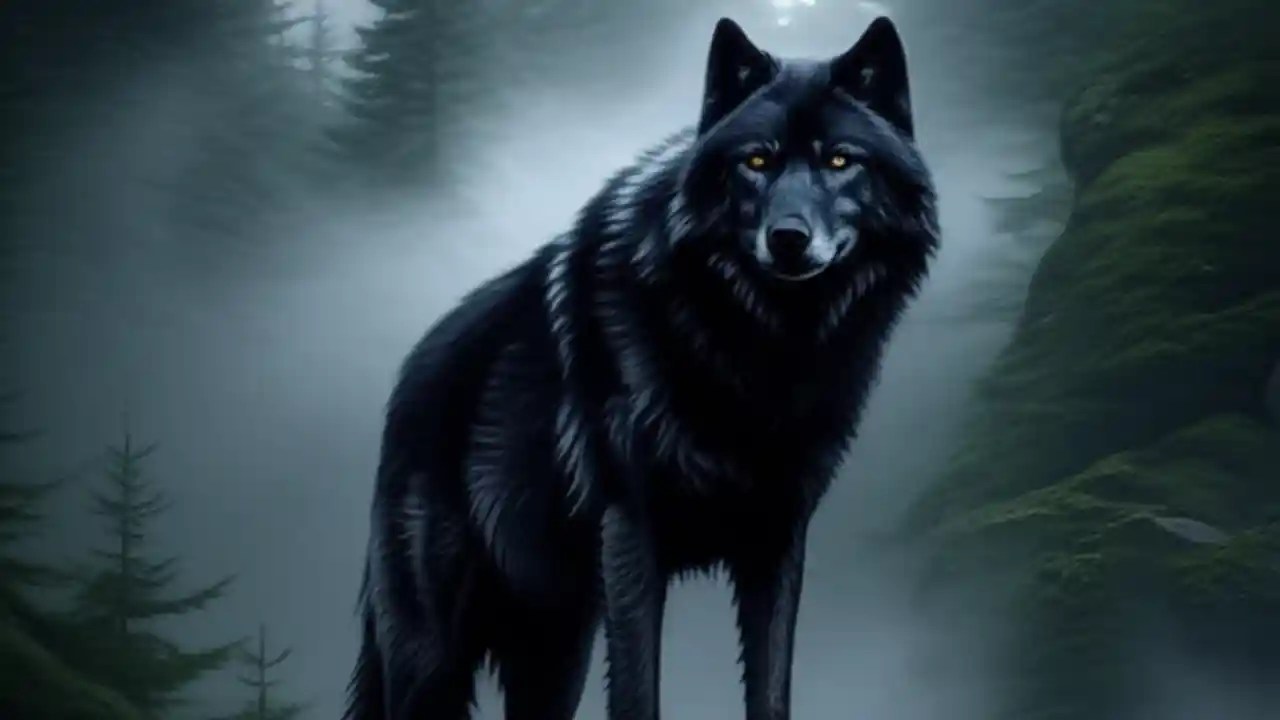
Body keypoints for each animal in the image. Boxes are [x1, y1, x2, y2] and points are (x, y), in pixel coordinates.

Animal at [346, 15, 938, 720]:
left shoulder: (776, 538)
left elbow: (769, 689)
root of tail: (409, 374)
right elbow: (636, 692)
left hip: (555, 648)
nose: (789, 238)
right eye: (757, 161)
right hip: (435, 658)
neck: (759, 349)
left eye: (840, 160)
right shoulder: (631, 531)